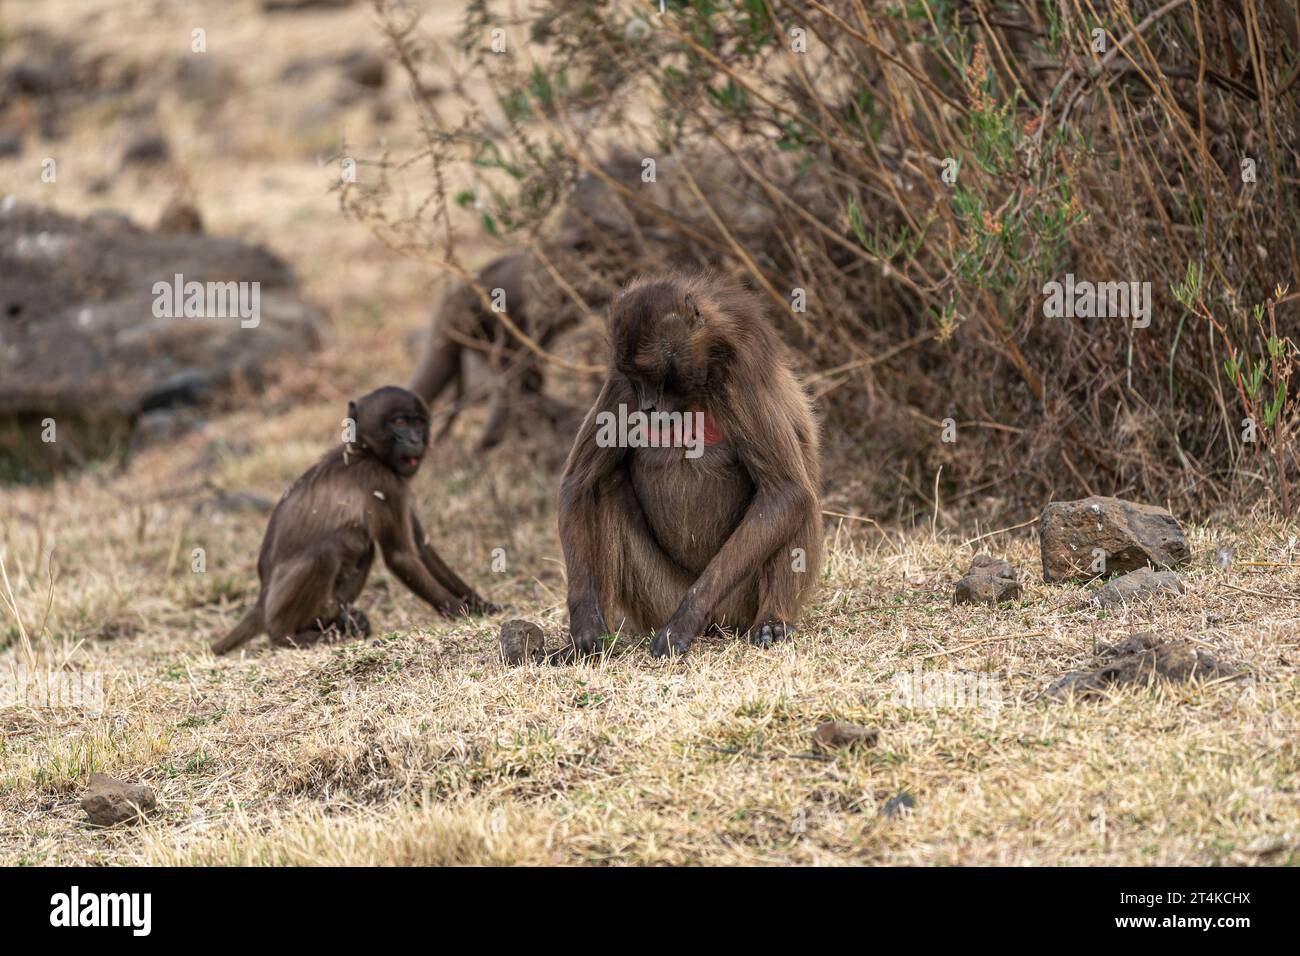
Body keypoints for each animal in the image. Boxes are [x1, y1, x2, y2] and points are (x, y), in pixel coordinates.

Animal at [211, 386, 498, 655]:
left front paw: (481, 604)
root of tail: (261, 600)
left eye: (418, 423)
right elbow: (402, 556)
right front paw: (461, 611)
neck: (364, 451)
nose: (416, 439)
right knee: (327, 553)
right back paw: (287, 635)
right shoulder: (384, 480)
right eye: (400, 423)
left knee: (363, 549)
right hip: (280, 603)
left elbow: (421, 547)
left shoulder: (396, 482)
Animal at [558, 271, 822, 659]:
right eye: (636, 378)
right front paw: (586, 625)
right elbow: (579, 483)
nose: (648, 407)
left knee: (798, 497)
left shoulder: (742, 371)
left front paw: (685, 620)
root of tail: (719, 626)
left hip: (736, 600)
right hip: (659, 598)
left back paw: (773, 620)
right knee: (604, 485)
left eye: (655, 373)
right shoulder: (619, 385)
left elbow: (785, 490)